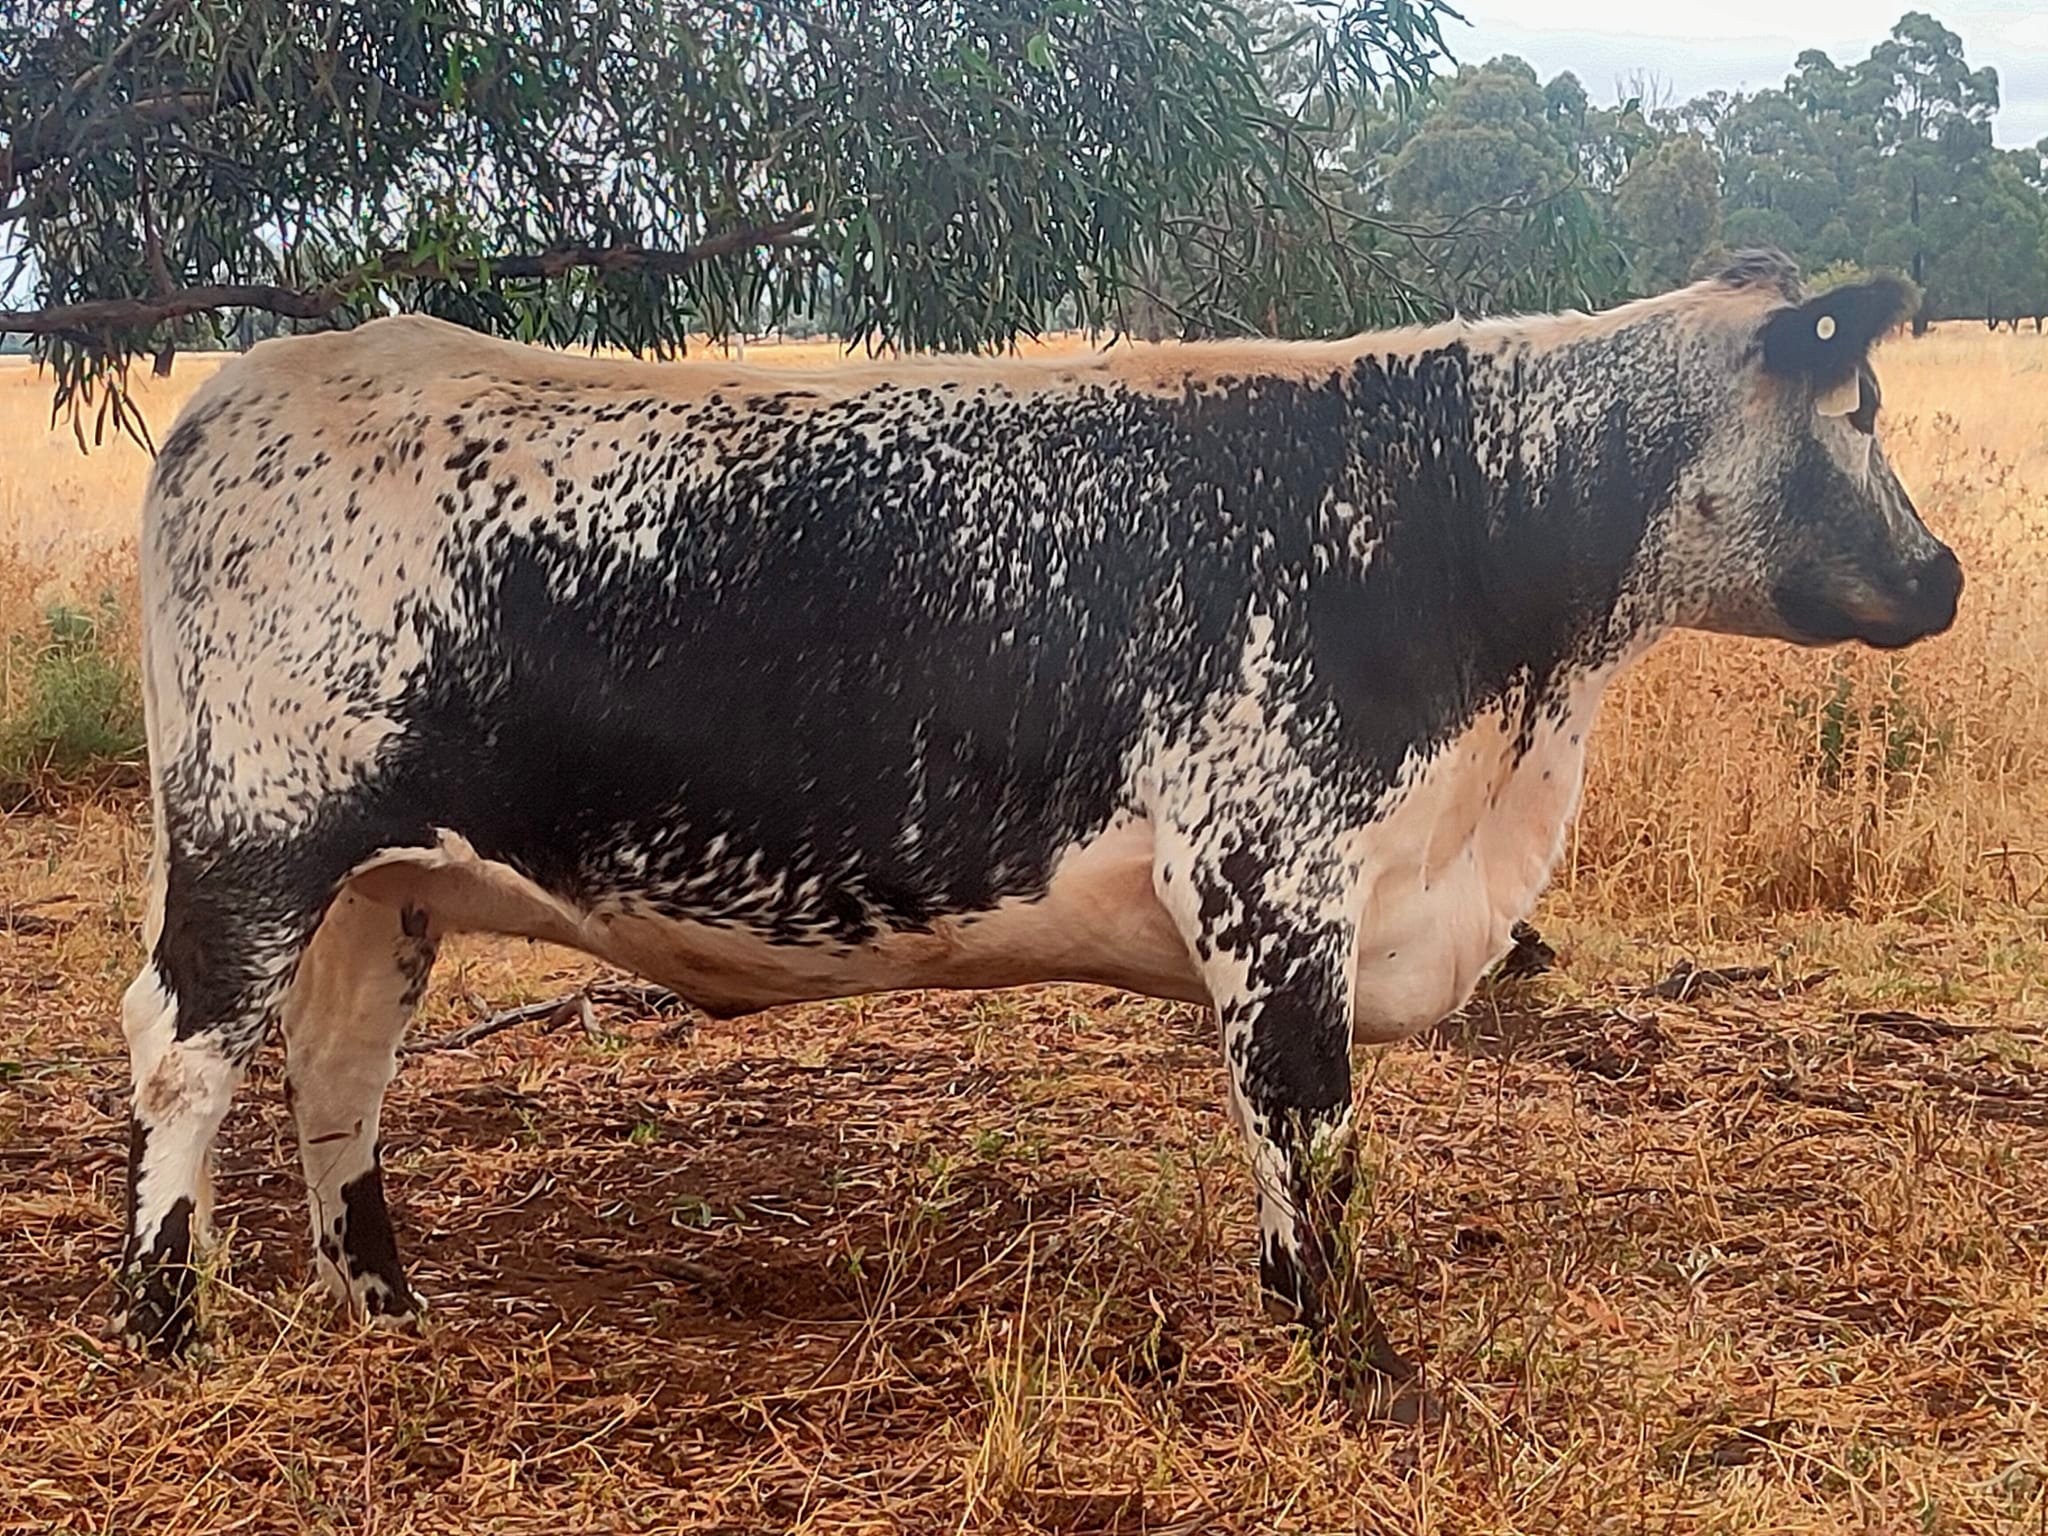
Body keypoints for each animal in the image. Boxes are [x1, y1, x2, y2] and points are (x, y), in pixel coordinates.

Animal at [116, 251, 1958, 1416]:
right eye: (1862, 413)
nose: (1941, 577)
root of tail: (264, 378)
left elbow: (1291, 1155)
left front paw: (1302, 1325)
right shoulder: (1270, 874)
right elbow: (1315, 1138)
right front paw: (1361, 1365)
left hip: (389, 880)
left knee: (338, 1072)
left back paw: (382, 1305)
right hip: (254, 839)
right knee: (183, 1055)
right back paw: (165, 1321)